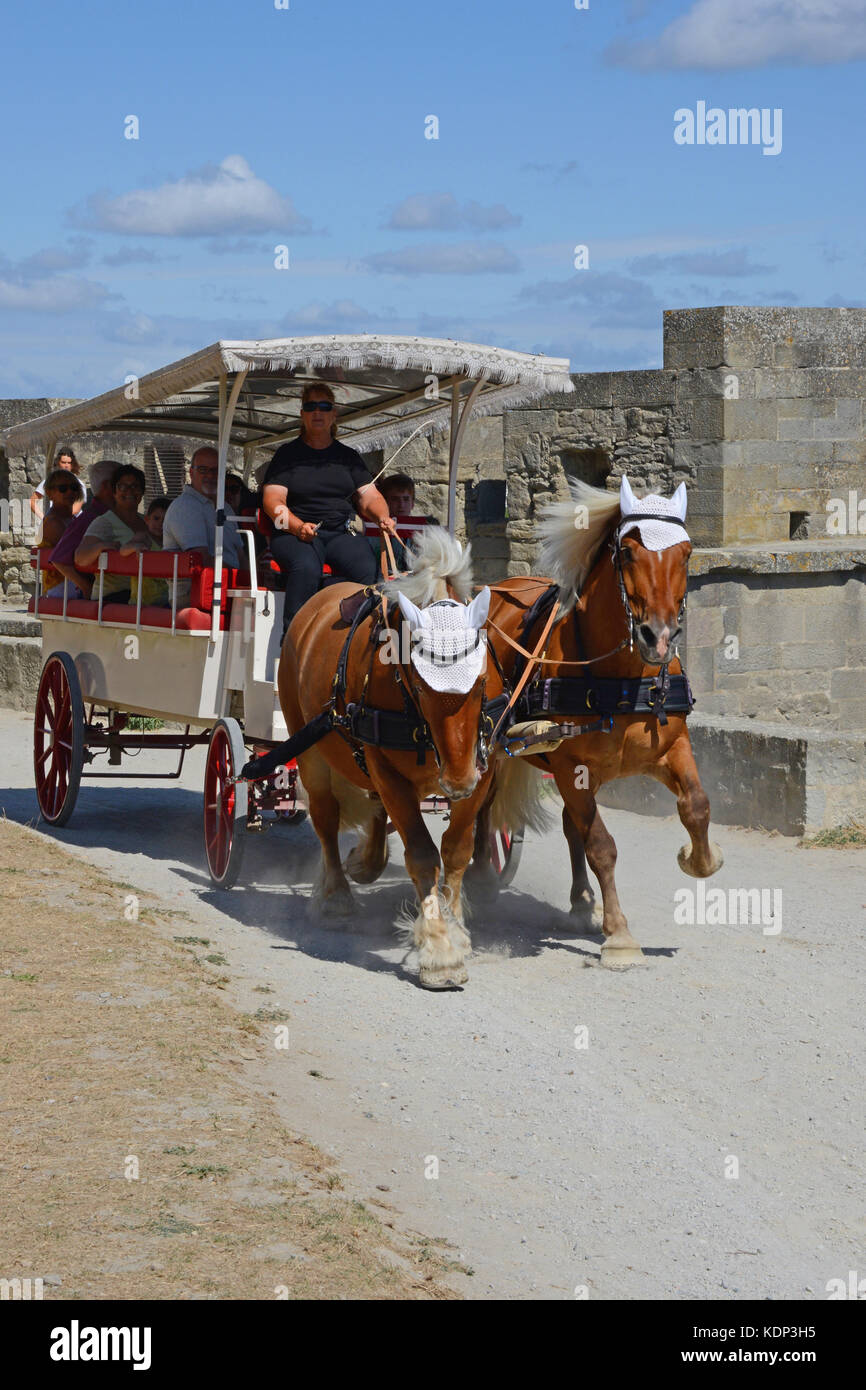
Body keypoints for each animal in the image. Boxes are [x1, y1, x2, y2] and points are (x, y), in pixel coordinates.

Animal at [277, 528, 501, 989]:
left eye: (482, 679)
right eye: (420, 682)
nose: (456, 780)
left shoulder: (482, 772)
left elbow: (457, 851)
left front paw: (454, 929)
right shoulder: (387, 769)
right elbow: (421, 854)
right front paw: (438, 950)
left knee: (376, 813)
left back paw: (365, 861)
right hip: (310, 751)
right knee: (325, 819)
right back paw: (337, 897)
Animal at [471, 475, 724, 967]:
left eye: (686, 553)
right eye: (626, 551)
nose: (658, 637)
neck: (620, 680)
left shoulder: (672, 748)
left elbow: (697, 807)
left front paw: (699, 858)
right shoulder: (571, 767)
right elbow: (602, 846)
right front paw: (620, 933)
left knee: (568, 824)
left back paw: (580, 901)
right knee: (482, 808)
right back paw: (481, 877)